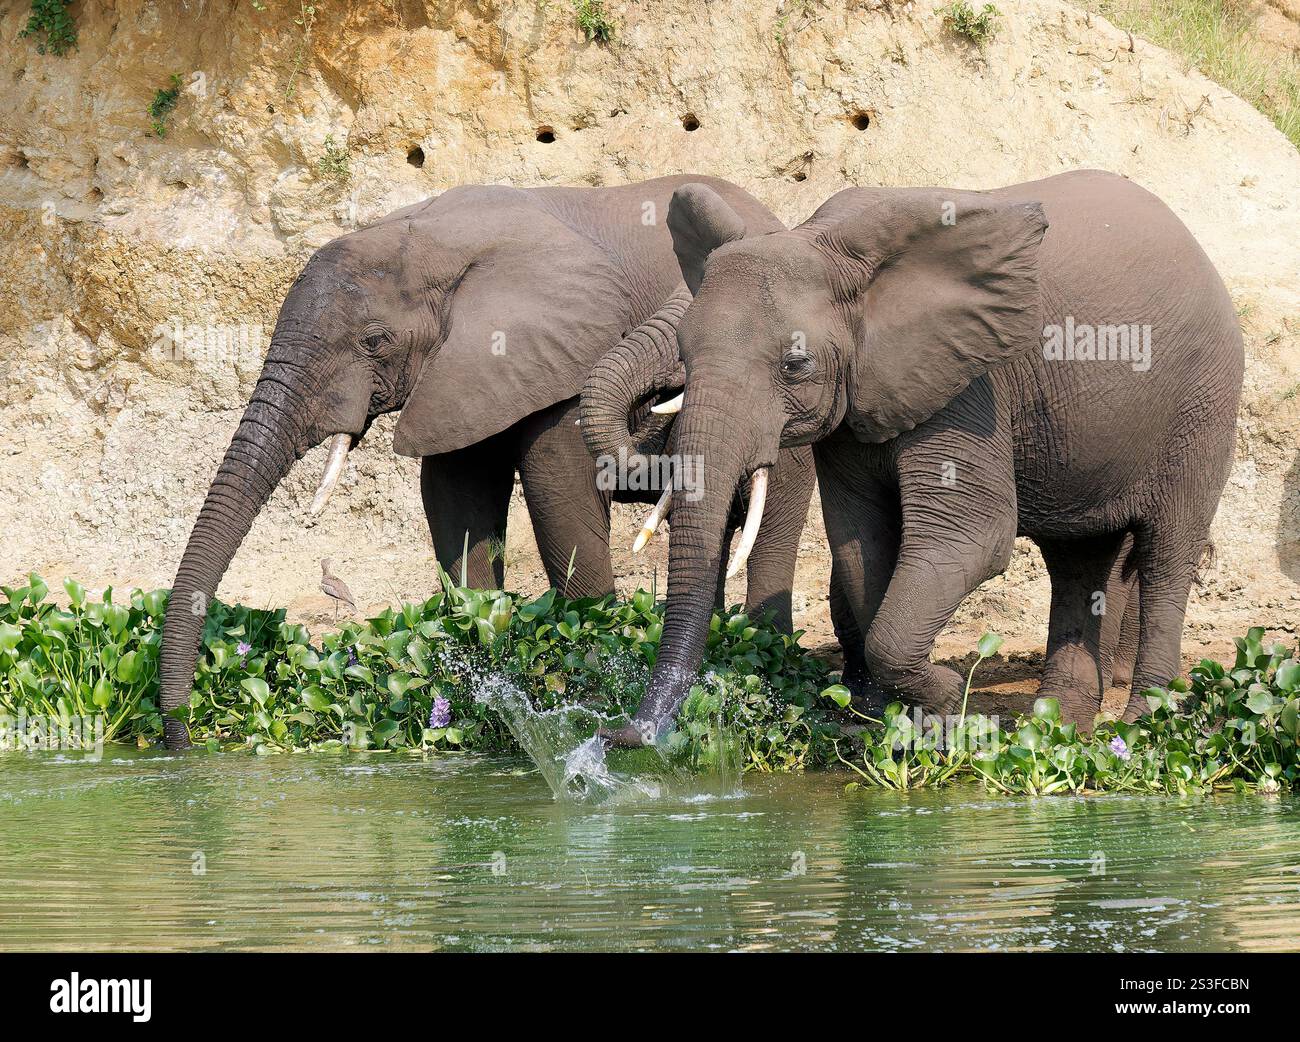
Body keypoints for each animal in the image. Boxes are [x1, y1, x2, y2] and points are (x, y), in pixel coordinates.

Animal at [158, 175, 816, 750]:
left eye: (374, 342)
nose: (181, 738)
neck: (426, 234)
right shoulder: (459, 370)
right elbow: (455, 492)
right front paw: (480, 634)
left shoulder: (562, 351)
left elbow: (560, 487)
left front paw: (593, 644)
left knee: (774, 519)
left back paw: (768, 651)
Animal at [604, 169, 1243, 743]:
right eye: (684, 351)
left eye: (796, 364)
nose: (621, 737)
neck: (826, 243)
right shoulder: (859, 401)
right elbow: (861, 544)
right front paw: (911, 725)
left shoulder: (971, 389)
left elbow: (971, 538)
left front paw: (948, 701)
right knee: (1078, 561)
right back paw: (1056, 730)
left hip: (1204, 403)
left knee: (1167, 554)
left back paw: (1143, 730)